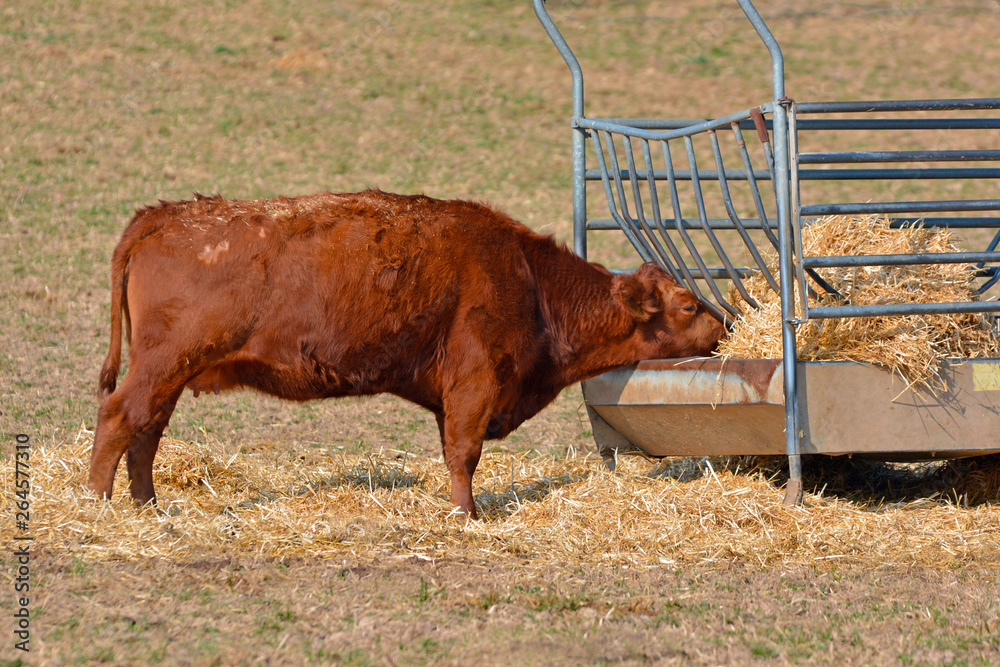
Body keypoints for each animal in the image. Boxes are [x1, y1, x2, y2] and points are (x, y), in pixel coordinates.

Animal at [90, 190, 725, 518]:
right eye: (687, 303)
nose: (725, 325)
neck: (527, 278)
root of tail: (162, 215)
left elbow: (454, 452)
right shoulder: (475, 382)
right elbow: (463, 454)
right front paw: (467, 516)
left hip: (171, 373)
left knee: (146, 430)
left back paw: (147, 505)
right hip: (163, 364)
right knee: (120, 417)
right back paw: (98, 504)